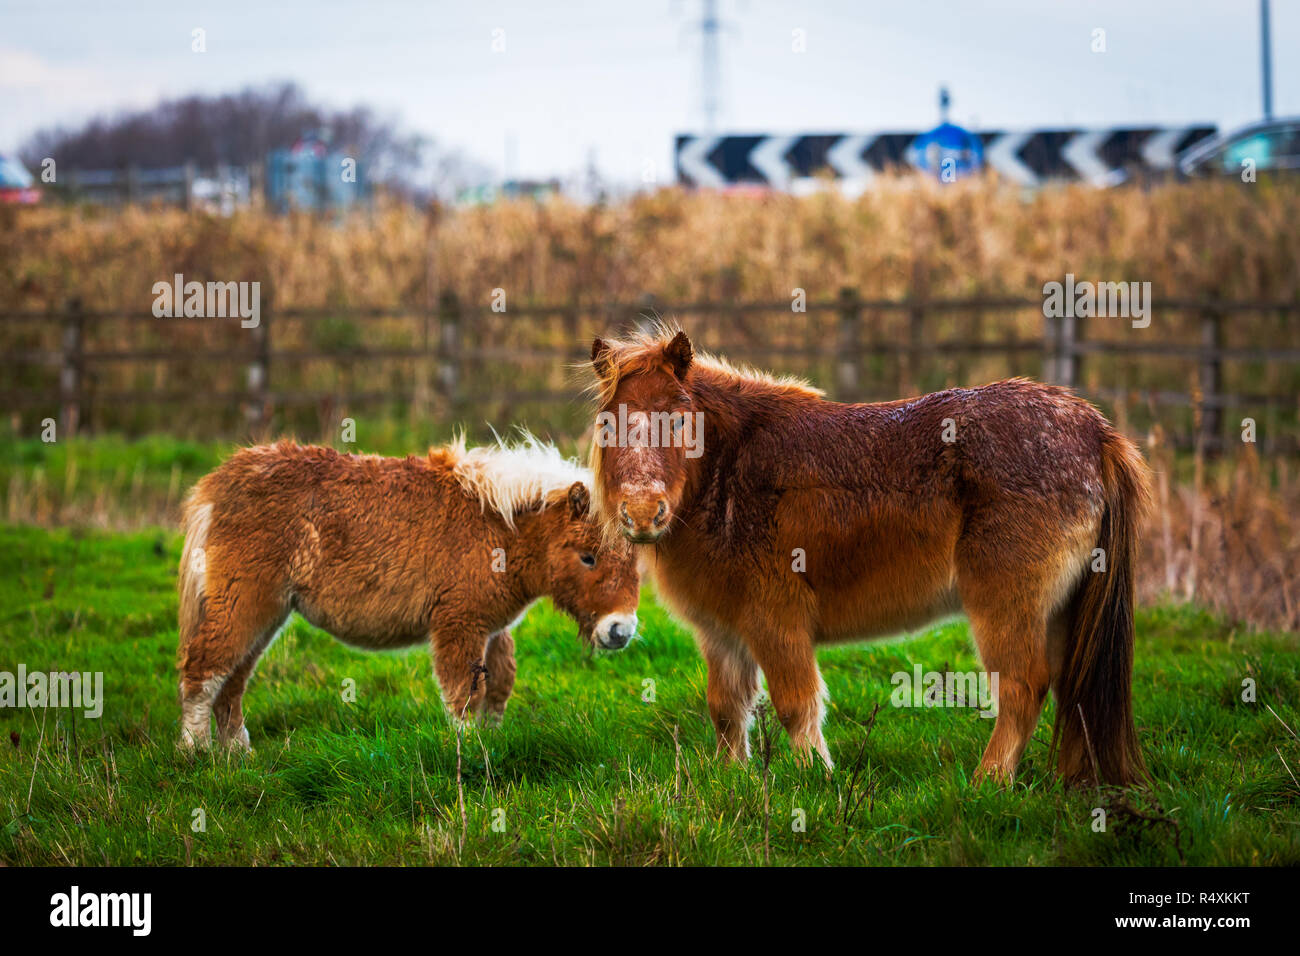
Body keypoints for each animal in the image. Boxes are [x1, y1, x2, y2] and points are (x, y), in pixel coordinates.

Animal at [177, 434, 641, 751]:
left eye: (635, 562)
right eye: (588, 558)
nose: (621, 631)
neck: (499, 527)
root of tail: (223, 480)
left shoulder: (491, 629)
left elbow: (498, 688)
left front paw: (490, 744)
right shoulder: (459, 624)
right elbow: (464, 695)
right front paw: (469, 755)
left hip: (265, 613)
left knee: (233, 677)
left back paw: (238, 756)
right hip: (245, 602)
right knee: (205, 669)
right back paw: (196, 754)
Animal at [587, 327, 1151, 786]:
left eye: (681, 420)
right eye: (608, 426)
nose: (643, 513)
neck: (728, 474)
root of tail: (1095, 431)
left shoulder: (776, 620)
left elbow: (796, 705)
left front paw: (815, 777)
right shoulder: (722, 631)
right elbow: (727, 708)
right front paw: (733, 779)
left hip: (1008, 607)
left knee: (1022, 688)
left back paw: (987, 783)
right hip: (1060, 612)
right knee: (1070, 688)